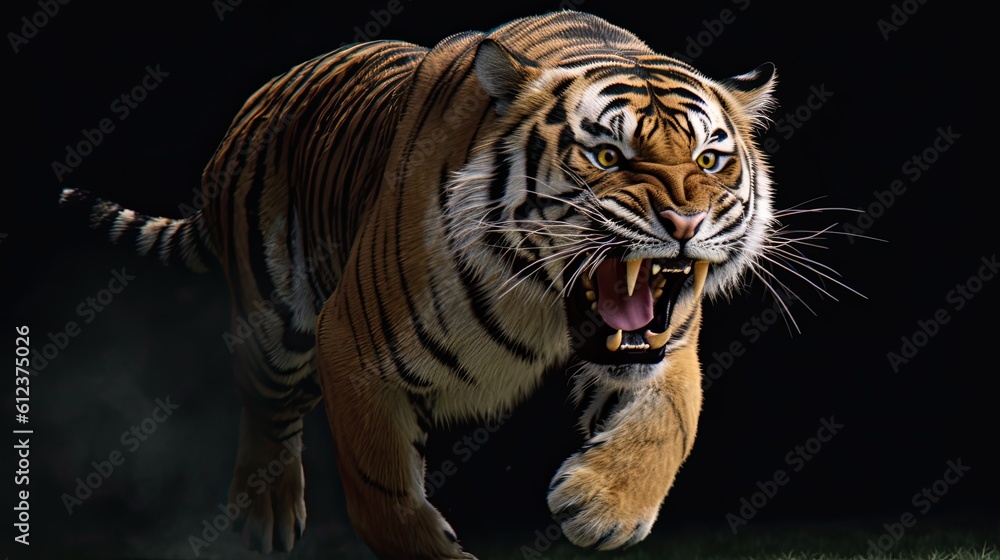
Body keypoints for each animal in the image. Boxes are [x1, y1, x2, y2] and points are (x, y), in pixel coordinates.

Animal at [59, 10, 779, 559]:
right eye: (607, 156)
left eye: (709, 159)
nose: (684, 223)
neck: (544, 306)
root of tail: (259, 100)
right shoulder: (351, 345)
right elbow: (380, 488)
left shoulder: (667, 345)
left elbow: (666, 422)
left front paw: (603, 508)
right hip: (275, 322)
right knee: (263, 403)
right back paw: (262, 517)